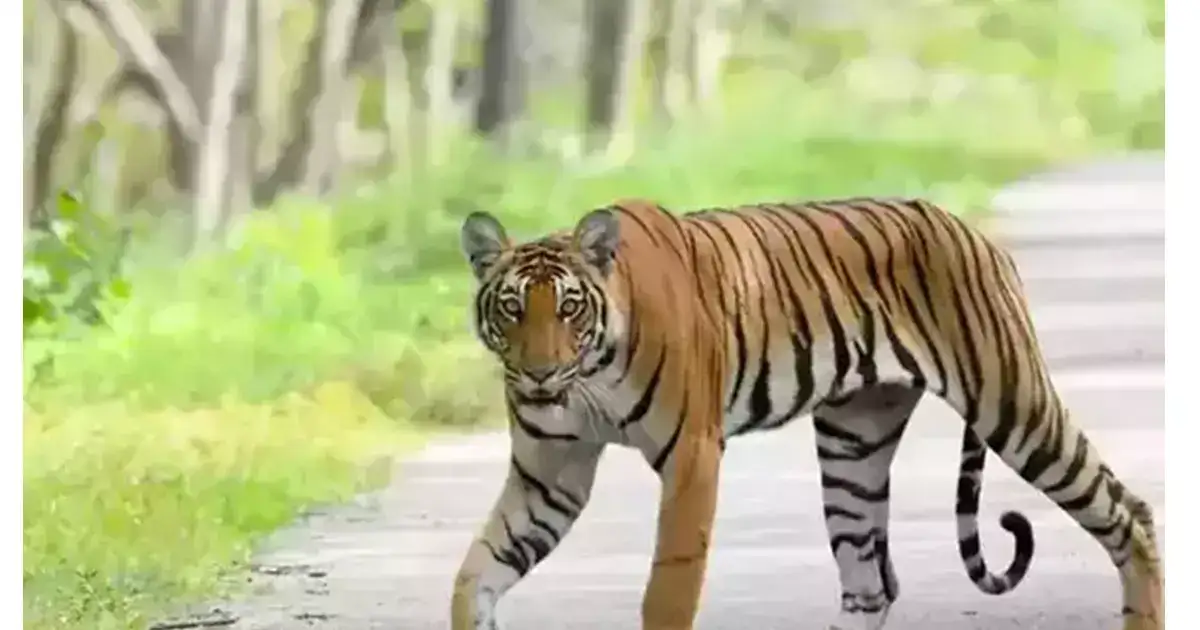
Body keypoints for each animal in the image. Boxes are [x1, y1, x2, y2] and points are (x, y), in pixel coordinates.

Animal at [450, 197, 1163, 630]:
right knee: (869, 585)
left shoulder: (692, 457)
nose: (539, 373)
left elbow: (668, 588)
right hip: (853, 443)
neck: (588, 378)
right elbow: (476, 571)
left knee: (1128, 514)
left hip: (1011, 403)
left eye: (569, 308)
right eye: (513, 308)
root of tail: (973, 231)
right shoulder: (551, 474)